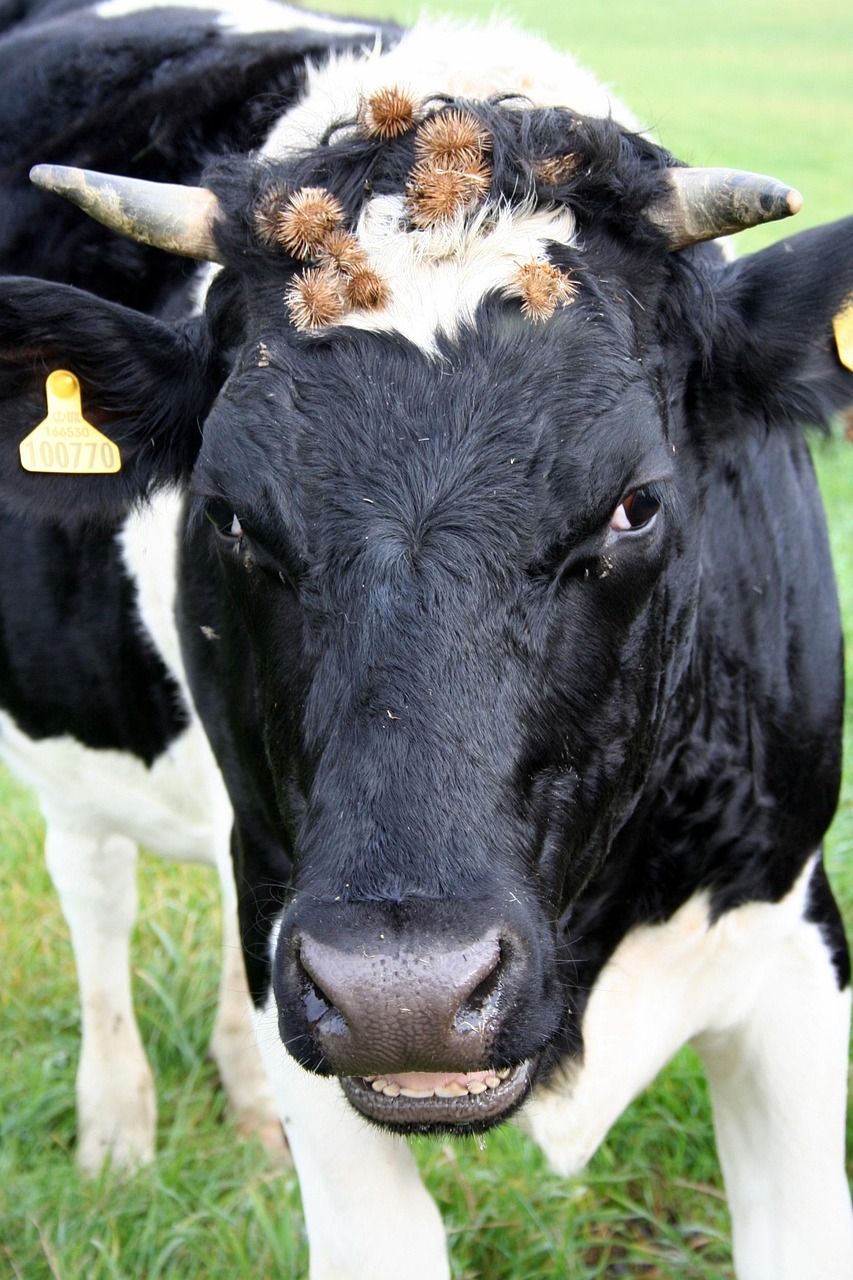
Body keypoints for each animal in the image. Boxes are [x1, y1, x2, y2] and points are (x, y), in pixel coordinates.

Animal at [1, 2, 852, 1278]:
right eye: (227, 512)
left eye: (637, 501)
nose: (401, 990)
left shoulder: (792, 943)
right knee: (94, 881)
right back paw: (116, 1130)